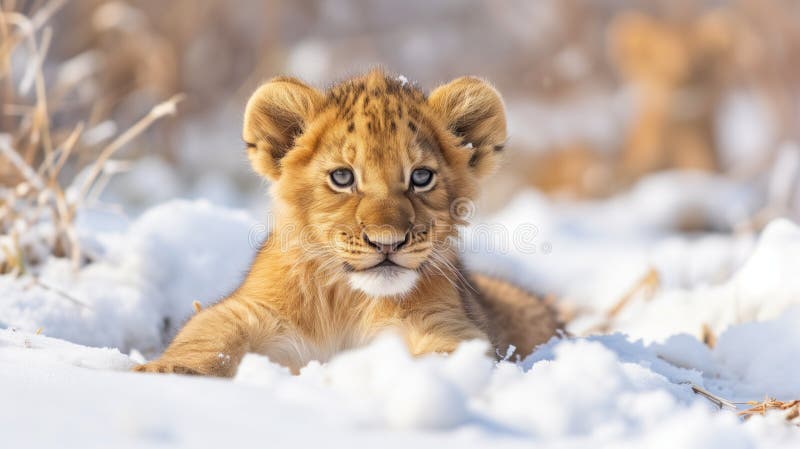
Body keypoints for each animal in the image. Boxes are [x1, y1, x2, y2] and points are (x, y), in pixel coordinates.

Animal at [134, 69, 559, 376]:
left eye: (421, 177)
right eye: (342, 177)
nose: (388, 241)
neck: (347, 300)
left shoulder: (449, 324)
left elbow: (445, 357)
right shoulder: (248, 309)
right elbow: (207, 336)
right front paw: (166, 372)